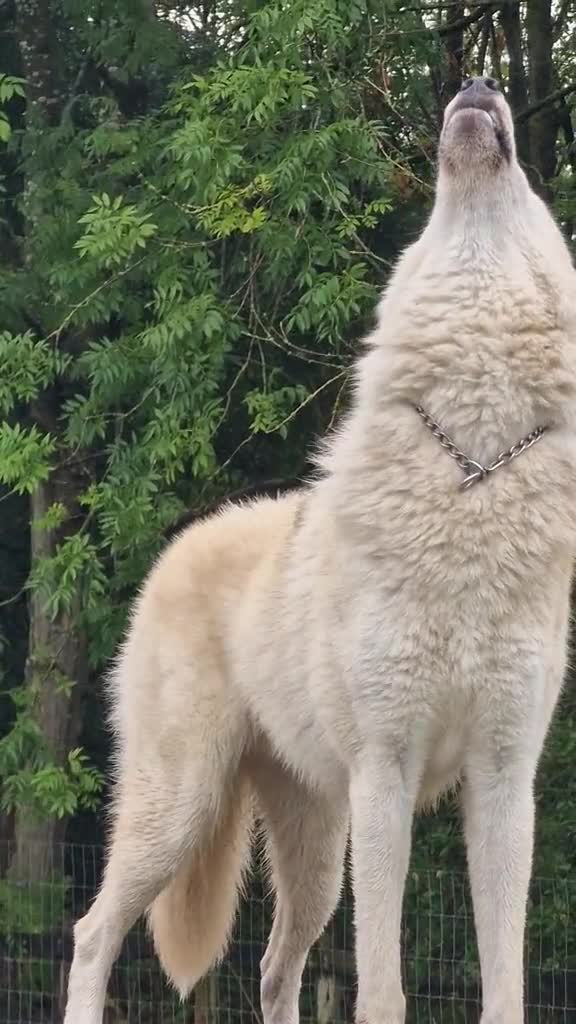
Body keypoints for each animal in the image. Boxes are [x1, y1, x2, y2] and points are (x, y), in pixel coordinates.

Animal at [64, 77, 576, 1024]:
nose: (478, 84)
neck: (473, 467)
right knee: (92, 931)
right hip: (184, 809)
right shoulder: (386, 776)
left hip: (311, 848)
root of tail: (186, 539)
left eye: (534, 205)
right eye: (429, 222)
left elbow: (505, 984)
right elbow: (382, 988)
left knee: (274, 967)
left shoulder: (503, 783)